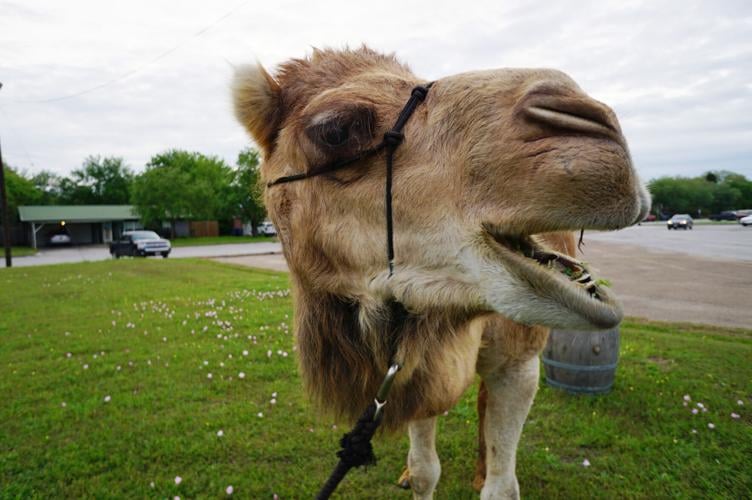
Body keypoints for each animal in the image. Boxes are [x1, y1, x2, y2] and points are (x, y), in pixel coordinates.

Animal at [232, 47, 649, 499]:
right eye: (335, 131)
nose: (600, 132)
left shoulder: (519, 363)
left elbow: (502, 487)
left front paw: (488, 476)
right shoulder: (413, 368)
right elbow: (423, 469)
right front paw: (413, 472)